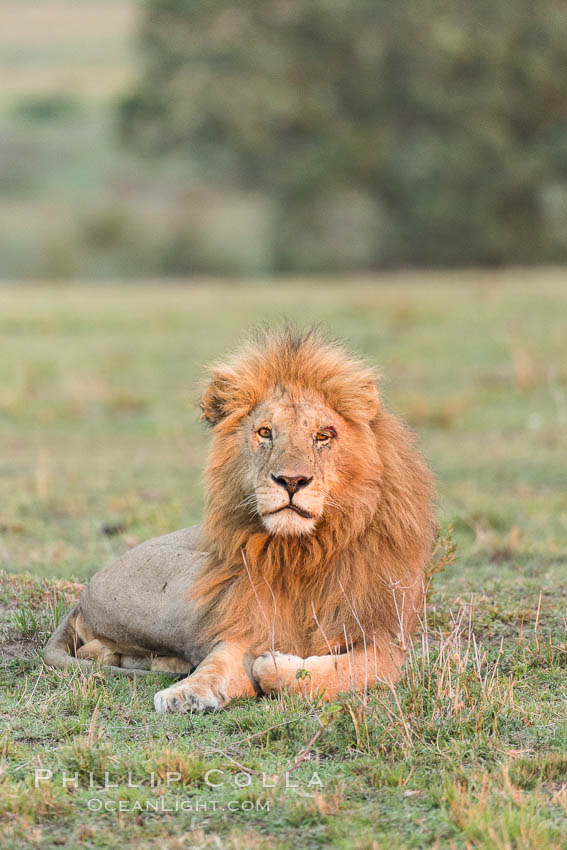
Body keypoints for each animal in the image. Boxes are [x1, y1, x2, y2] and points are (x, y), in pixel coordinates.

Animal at [44, 327, 435, 713]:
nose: (291, 481)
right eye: (265, 432)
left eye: (323, 436)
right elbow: (218, 661)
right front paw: (185, 693)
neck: (303, 552)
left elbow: (338, 672)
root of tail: (84, 593)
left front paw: (273, 666)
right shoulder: (244, 620)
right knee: (98, 649)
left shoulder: (388, 644)